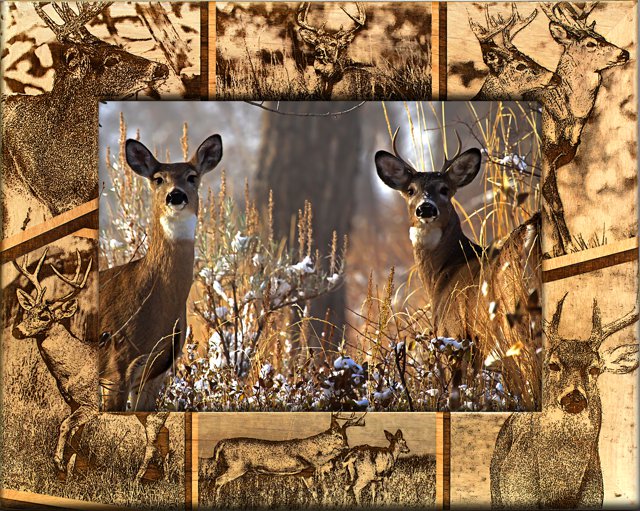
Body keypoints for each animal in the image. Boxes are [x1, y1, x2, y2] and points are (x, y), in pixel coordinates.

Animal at [211, 413, 366, 500]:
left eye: (346, 436)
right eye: (338, 436)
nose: (347, 447)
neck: (317, 450)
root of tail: (222, 443)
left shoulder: (306, 474)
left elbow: (313, 493)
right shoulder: (316, 467)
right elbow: (325, 490)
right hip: (237, 466)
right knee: (218, 480)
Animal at [374, 131, 541, 408]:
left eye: (444, 189)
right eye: (410, 190)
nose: (426, 208)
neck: (444, 272)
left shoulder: (454, 338)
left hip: (516, 319)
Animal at [526, 2, 631, 253]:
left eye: (603, 37)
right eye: (590, 43)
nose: (624, 53)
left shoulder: (559, 158)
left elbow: (549, 201)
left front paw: (557, 248)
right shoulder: (547, 154)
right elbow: (554, 202)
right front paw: (569, 247)